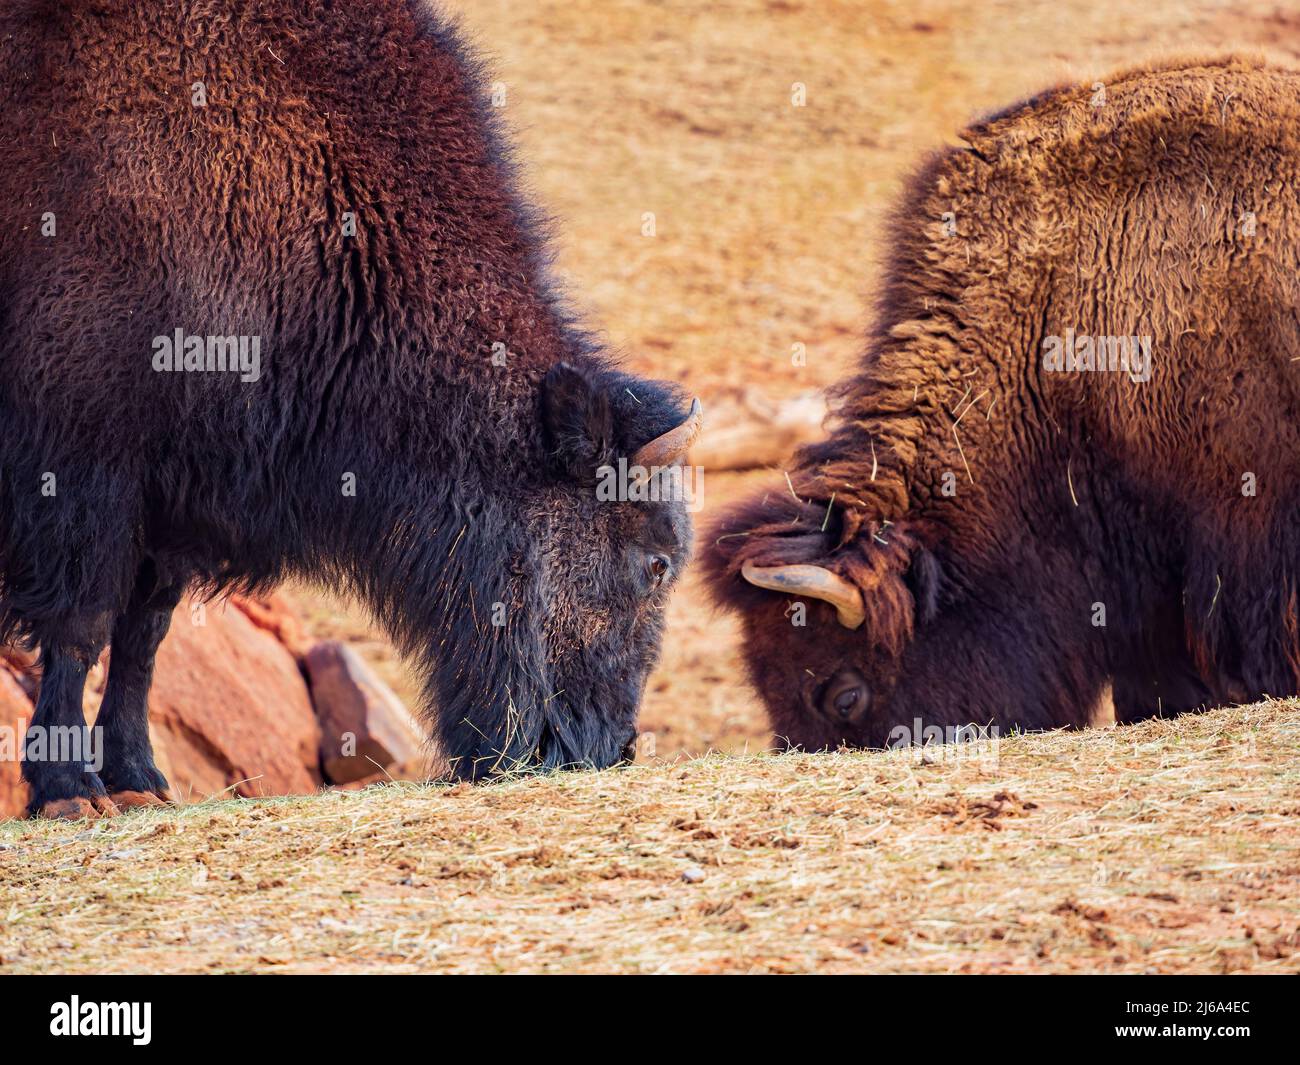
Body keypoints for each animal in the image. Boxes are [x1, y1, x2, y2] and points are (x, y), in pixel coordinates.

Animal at [0, 0, 700, 817]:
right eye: (654, 563)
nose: (614, 747)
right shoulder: (85, 466)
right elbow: (81, 624)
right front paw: (68, 791)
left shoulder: (178, 499)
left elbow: (144, 635)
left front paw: (140, 781)